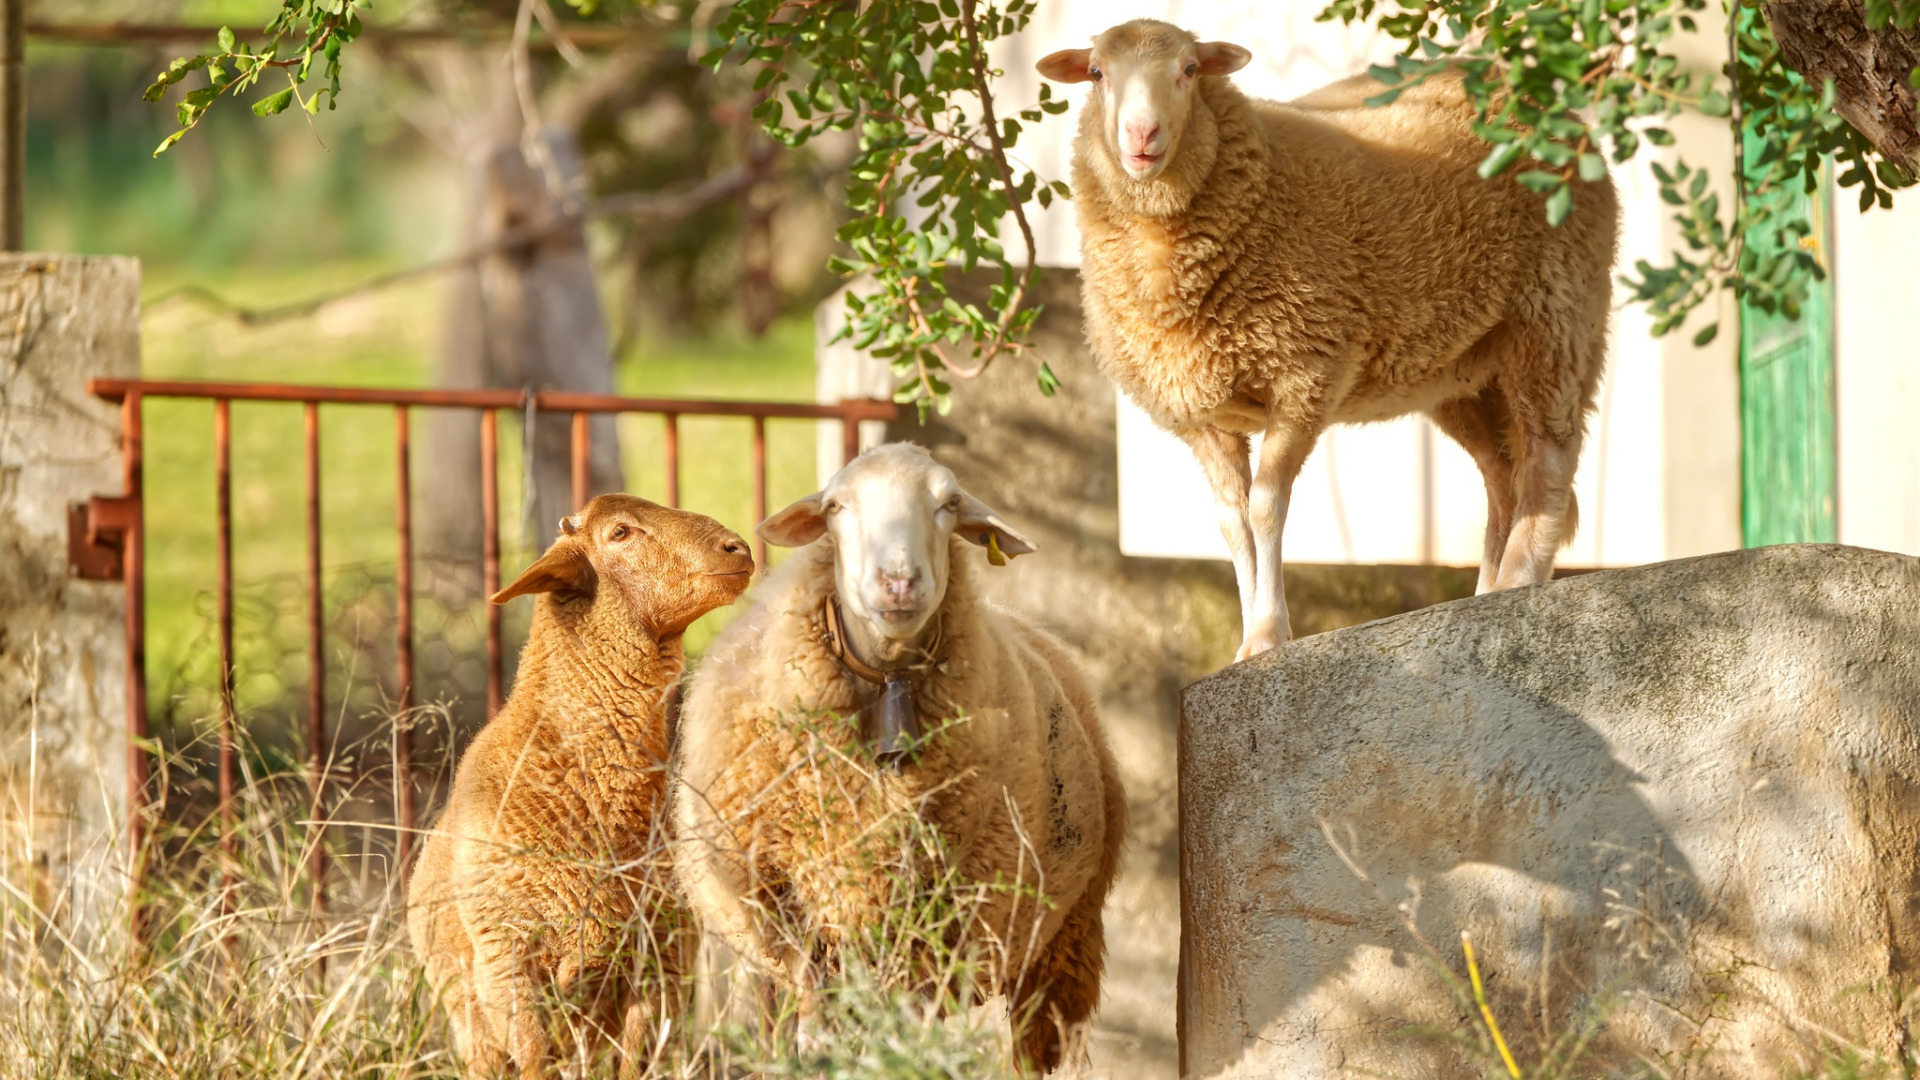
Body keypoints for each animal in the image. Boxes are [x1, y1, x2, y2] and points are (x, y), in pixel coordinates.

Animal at [407, 494, 754, 1079]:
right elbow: (534, 1062)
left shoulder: (659, 962)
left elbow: (636, 1063)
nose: (739, 549)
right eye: (620, 533)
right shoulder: (509, 966)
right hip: (471, 1019)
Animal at [671, 443, 1126, 1074]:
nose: (898, 582)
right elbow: (815, 1015)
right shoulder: (784, 905)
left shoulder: (940, 919)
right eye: (836, 506)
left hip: (1057, 945)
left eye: (949, 504)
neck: (887, 678)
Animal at [1037, 19, 1620, 660]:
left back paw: (1518, 580)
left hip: (1554, 309)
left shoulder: (1306, 374)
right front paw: (1248, 638)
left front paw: (1269, 632)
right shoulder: (1199, 415)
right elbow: (1232, 522)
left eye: (1190, 69)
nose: (1142, 135)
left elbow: (1266, 509)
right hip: (1462, 366)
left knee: (1548, 455)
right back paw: (1487, 590)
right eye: (1096, 73)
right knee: (1501, 472)